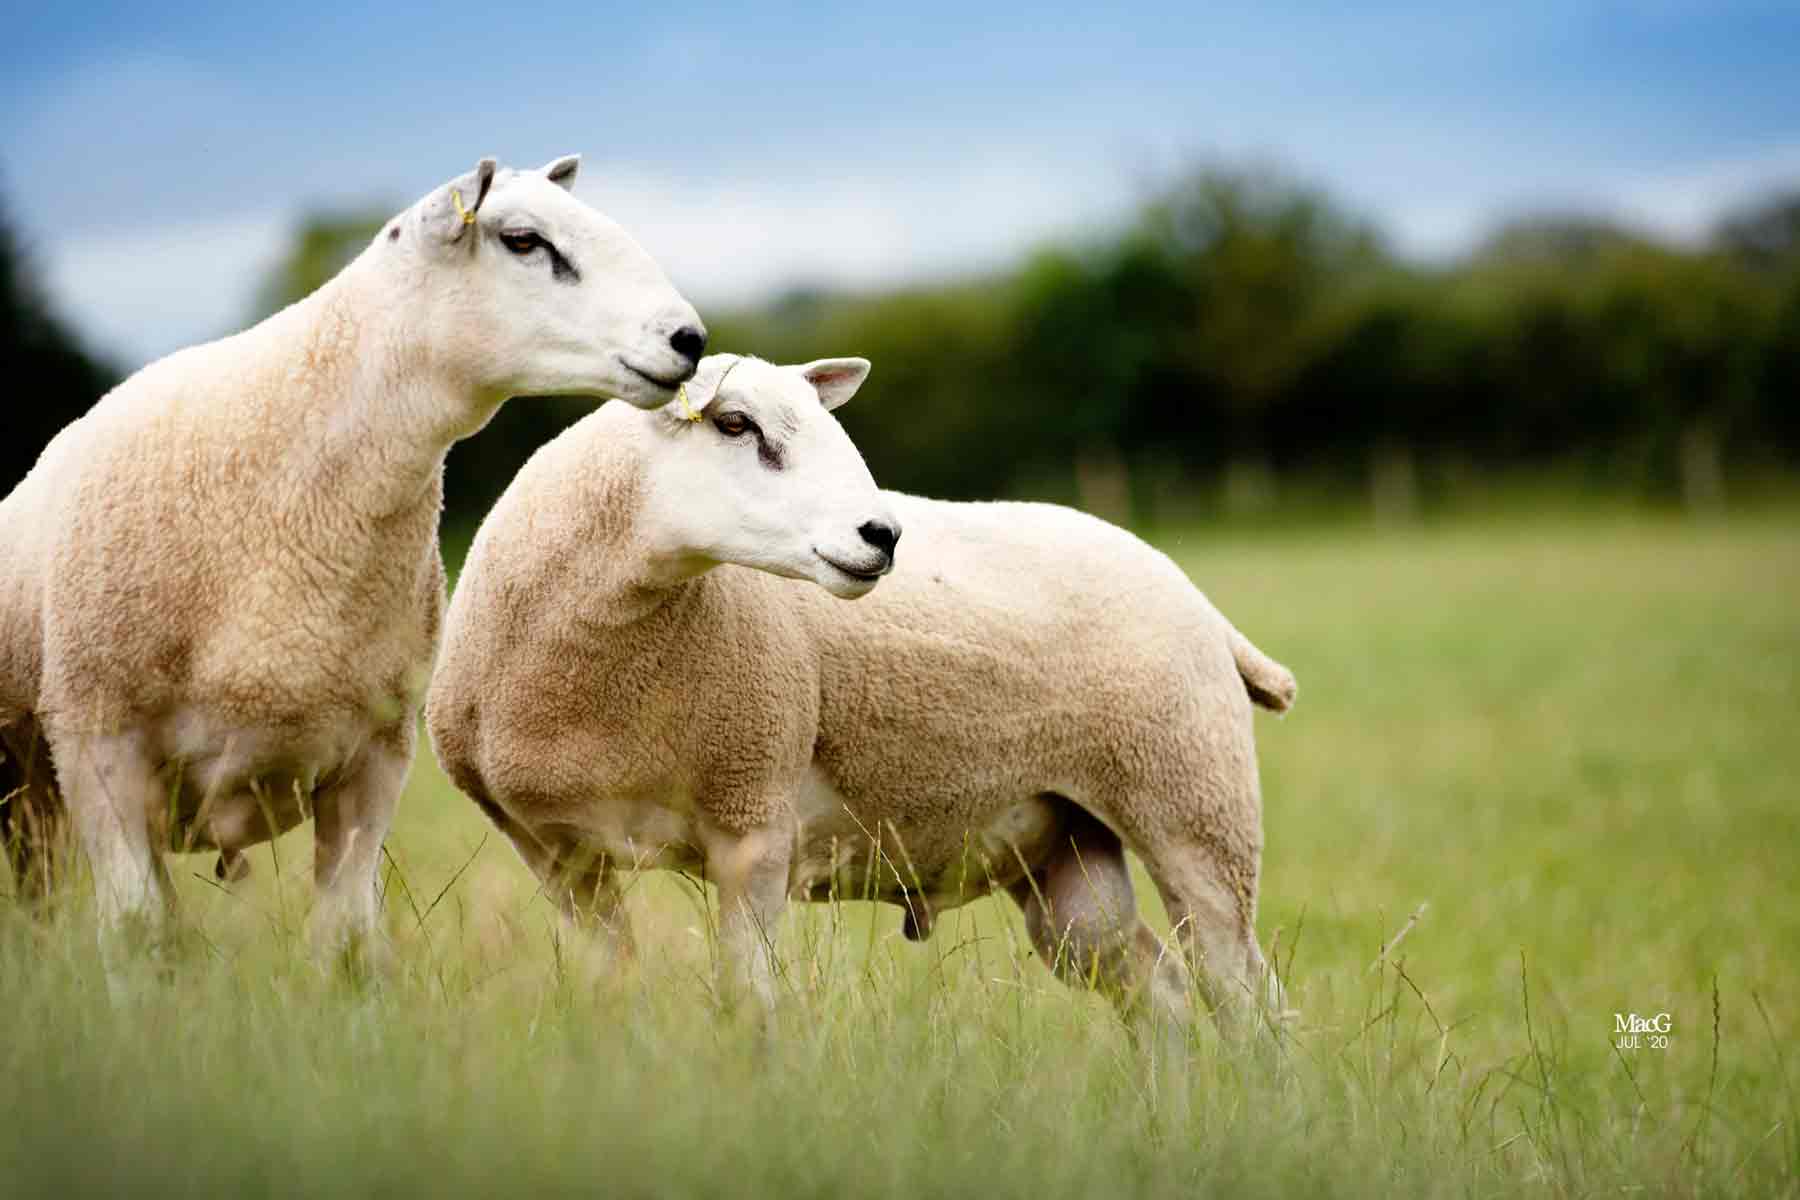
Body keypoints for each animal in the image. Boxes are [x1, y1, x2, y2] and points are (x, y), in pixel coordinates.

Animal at [0, 155, 705, 975]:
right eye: (523, 240)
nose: (689, 338)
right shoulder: (98, 740)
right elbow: (140, 930)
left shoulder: (374, 754)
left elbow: (344, 935)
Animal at [426, 353, 1296, 1043]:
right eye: (734, 424)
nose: (883, 535)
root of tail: (1200, 602)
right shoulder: (555, 854)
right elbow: (615, 996)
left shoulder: (753, 820)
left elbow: (748, 1005)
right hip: (1067, 850)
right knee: (1159, 991)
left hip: (1191, 802)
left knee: (1248, 1000)